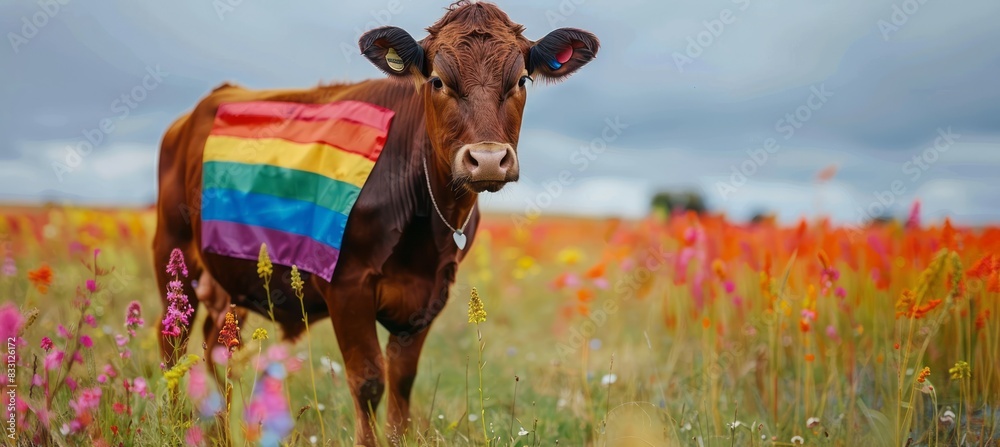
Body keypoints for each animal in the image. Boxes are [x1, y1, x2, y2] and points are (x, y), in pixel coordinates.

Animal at [153, 1, 598, 444]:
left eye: (521, 79)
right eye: (437, 80)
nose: (488, 160)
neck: (426, 230)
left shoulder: (429, 293)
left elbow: (401, 382)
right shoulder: (346, 284)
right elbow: (368, 381)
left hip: (228, 283)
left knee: (218, 349)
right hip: (172, 253)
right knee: (172, 341)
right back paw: (174, 424)